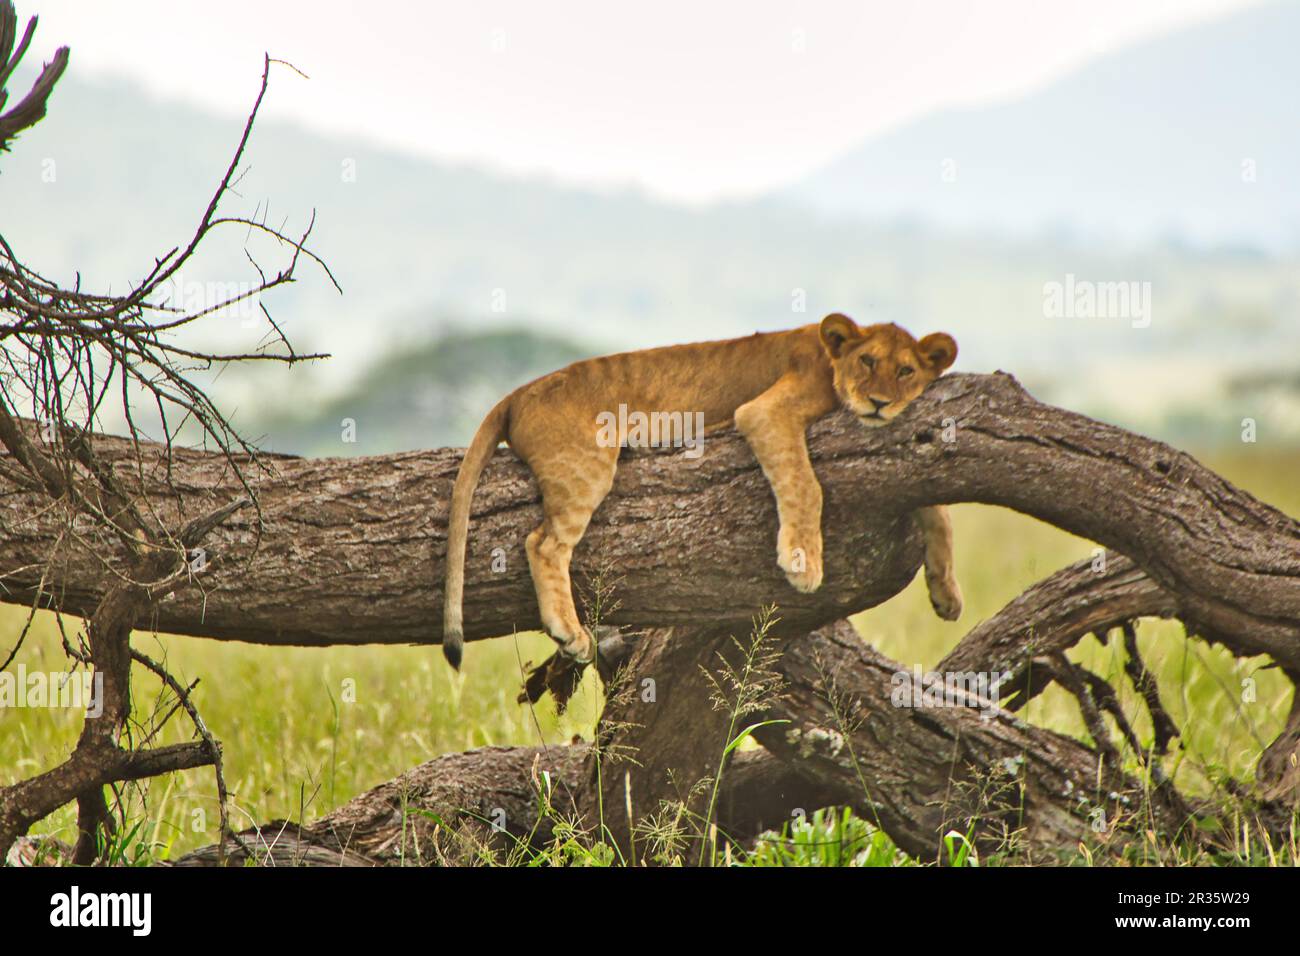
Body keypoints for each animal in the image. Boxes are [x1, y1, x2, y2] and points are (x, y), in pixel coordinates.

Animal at [441, 312, 962, 669]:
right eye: (867, 361)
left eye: (906, 372)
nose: (878, 403)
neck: (829, 361)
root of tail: (518, 393)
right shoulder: (764, 412)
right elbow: (805, 484)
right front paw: (803, 564)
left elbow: (936, 508)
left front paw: (946, 593)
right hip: (586, 466)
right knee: (543, 542)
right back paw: (569, 633)